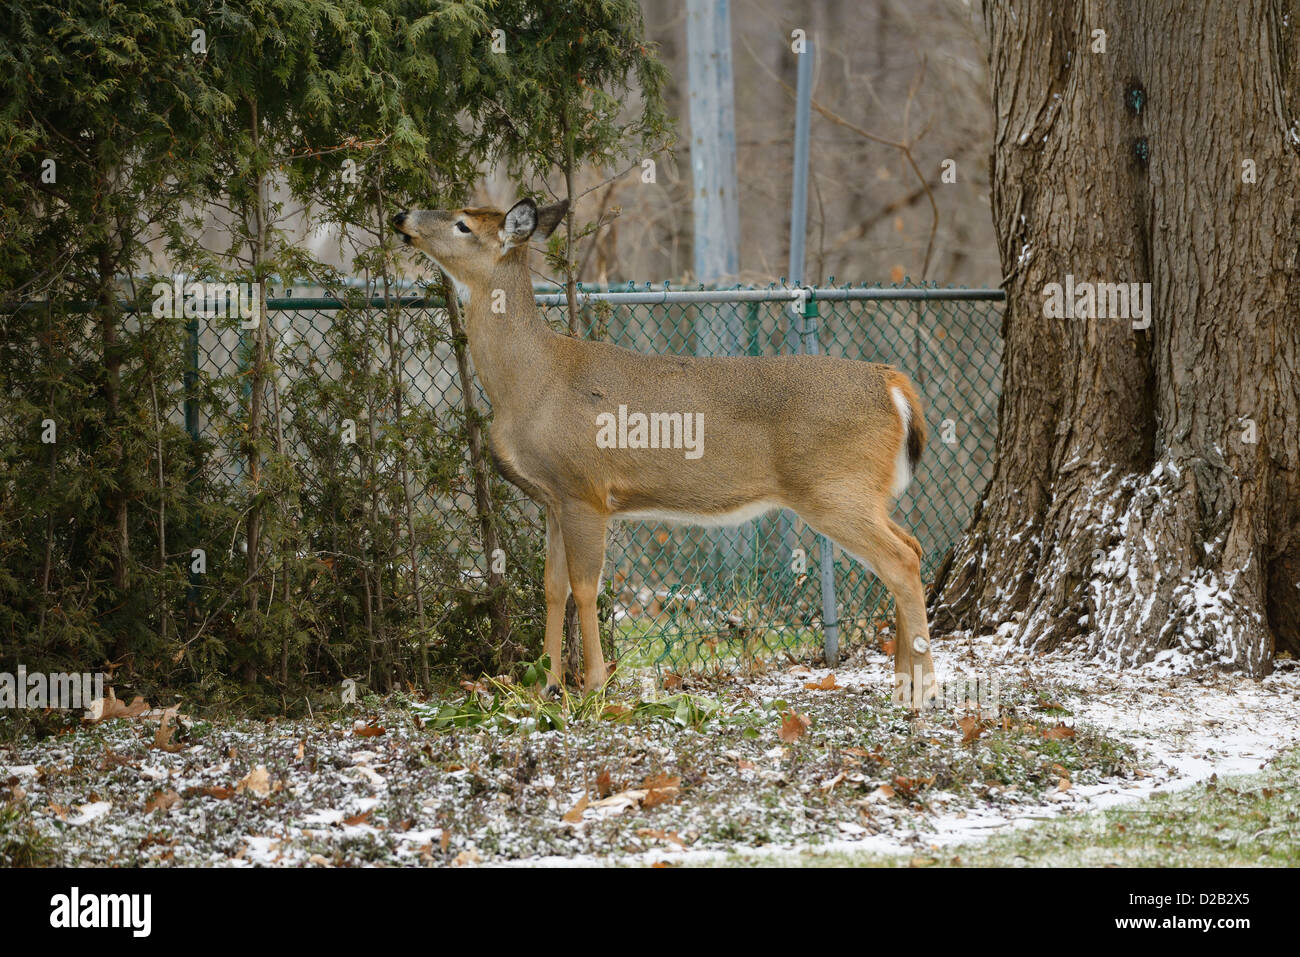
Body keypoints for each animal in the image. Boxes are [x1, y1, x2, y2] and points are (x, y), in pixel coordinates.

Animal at [393, 196, 938, 707]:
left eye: (463, 224)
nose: (401, 217)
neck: (532, 384)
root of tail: (892, 382)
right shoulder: (552, 498)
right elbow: (553, 587)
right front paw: (546, 685)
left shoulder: (586, 491)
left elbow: (586, 589)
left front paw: (594, 685)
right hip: (860, 492)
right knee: (912, 546)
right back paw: (902, 679)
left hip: (832, 488)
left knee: (901, 562)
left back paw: (921, 689)